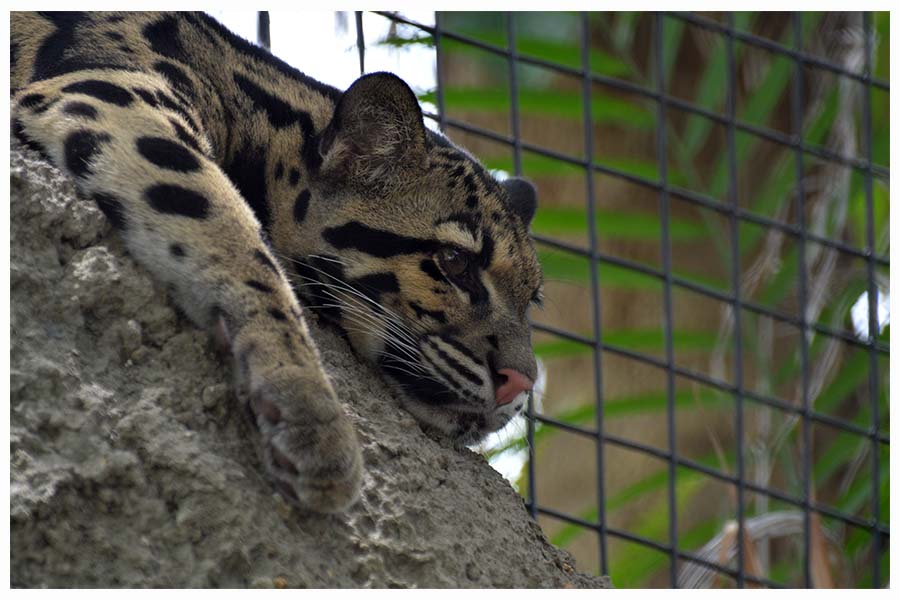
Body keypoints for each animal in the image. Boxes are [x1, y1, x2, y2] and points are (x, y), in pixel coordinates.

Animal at [10, 11, 544, 513]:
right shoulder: (108, 94)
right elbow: (235, 237)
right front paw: (307, 408)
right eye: (454, 262)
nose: (522, 382)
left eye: (531, 301)